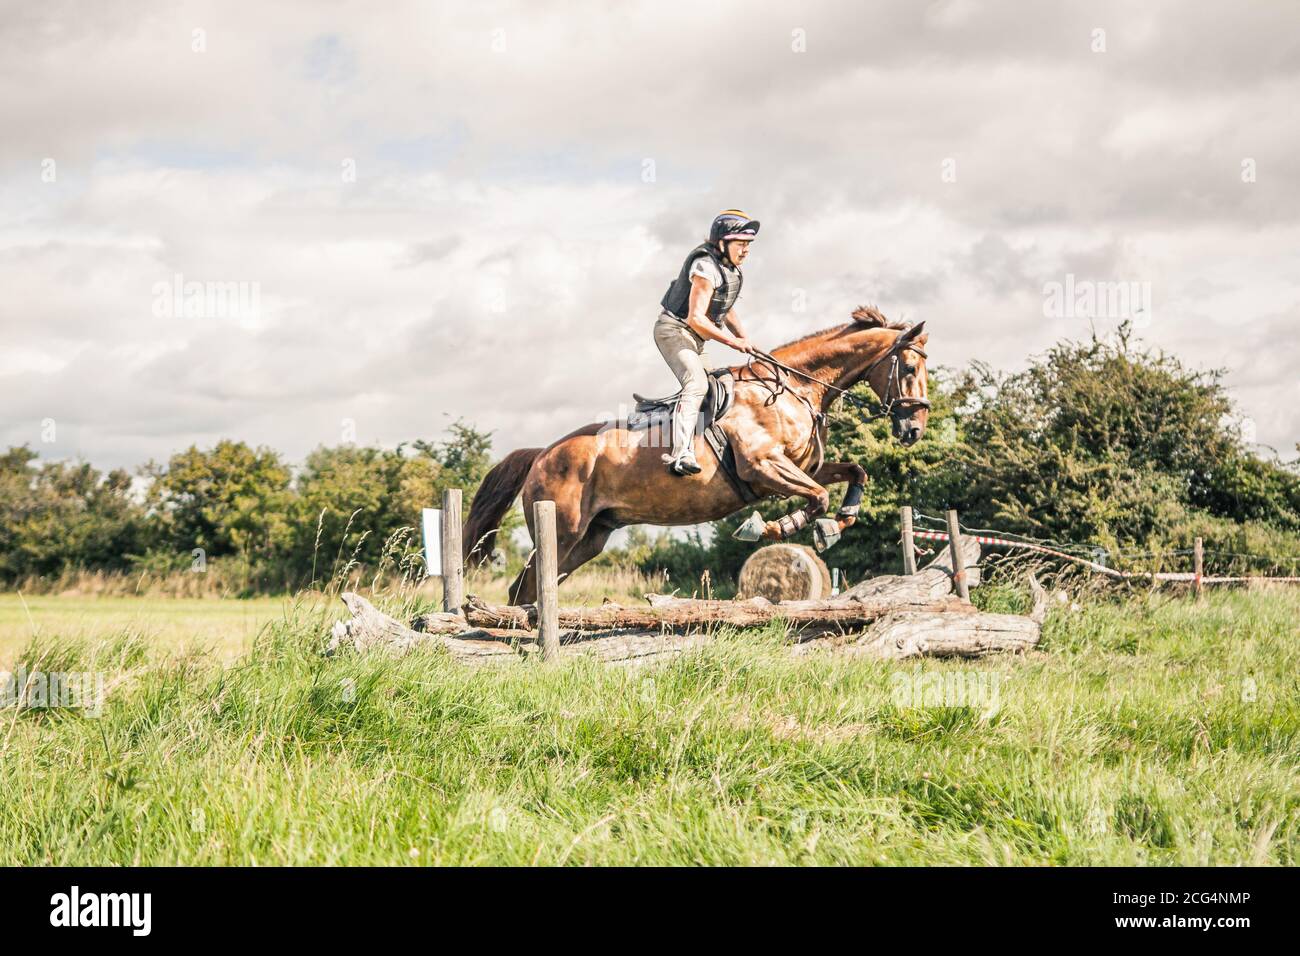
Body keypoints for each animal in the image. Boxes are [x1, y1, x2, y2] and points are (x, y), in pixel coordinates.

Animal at [463, 306, 930, 604]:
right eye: (909, 369)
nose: (914, 430)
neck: (792, 389)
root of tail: (542, 453)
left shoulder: (805, 467)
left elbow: (854, 473)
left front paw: (837, 524)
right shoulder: (763, 466)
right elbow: (818, 498)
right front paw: (770, 528)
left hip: (590, 538)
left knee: (533, 587)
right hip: (563, 529)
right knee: (525, 586)